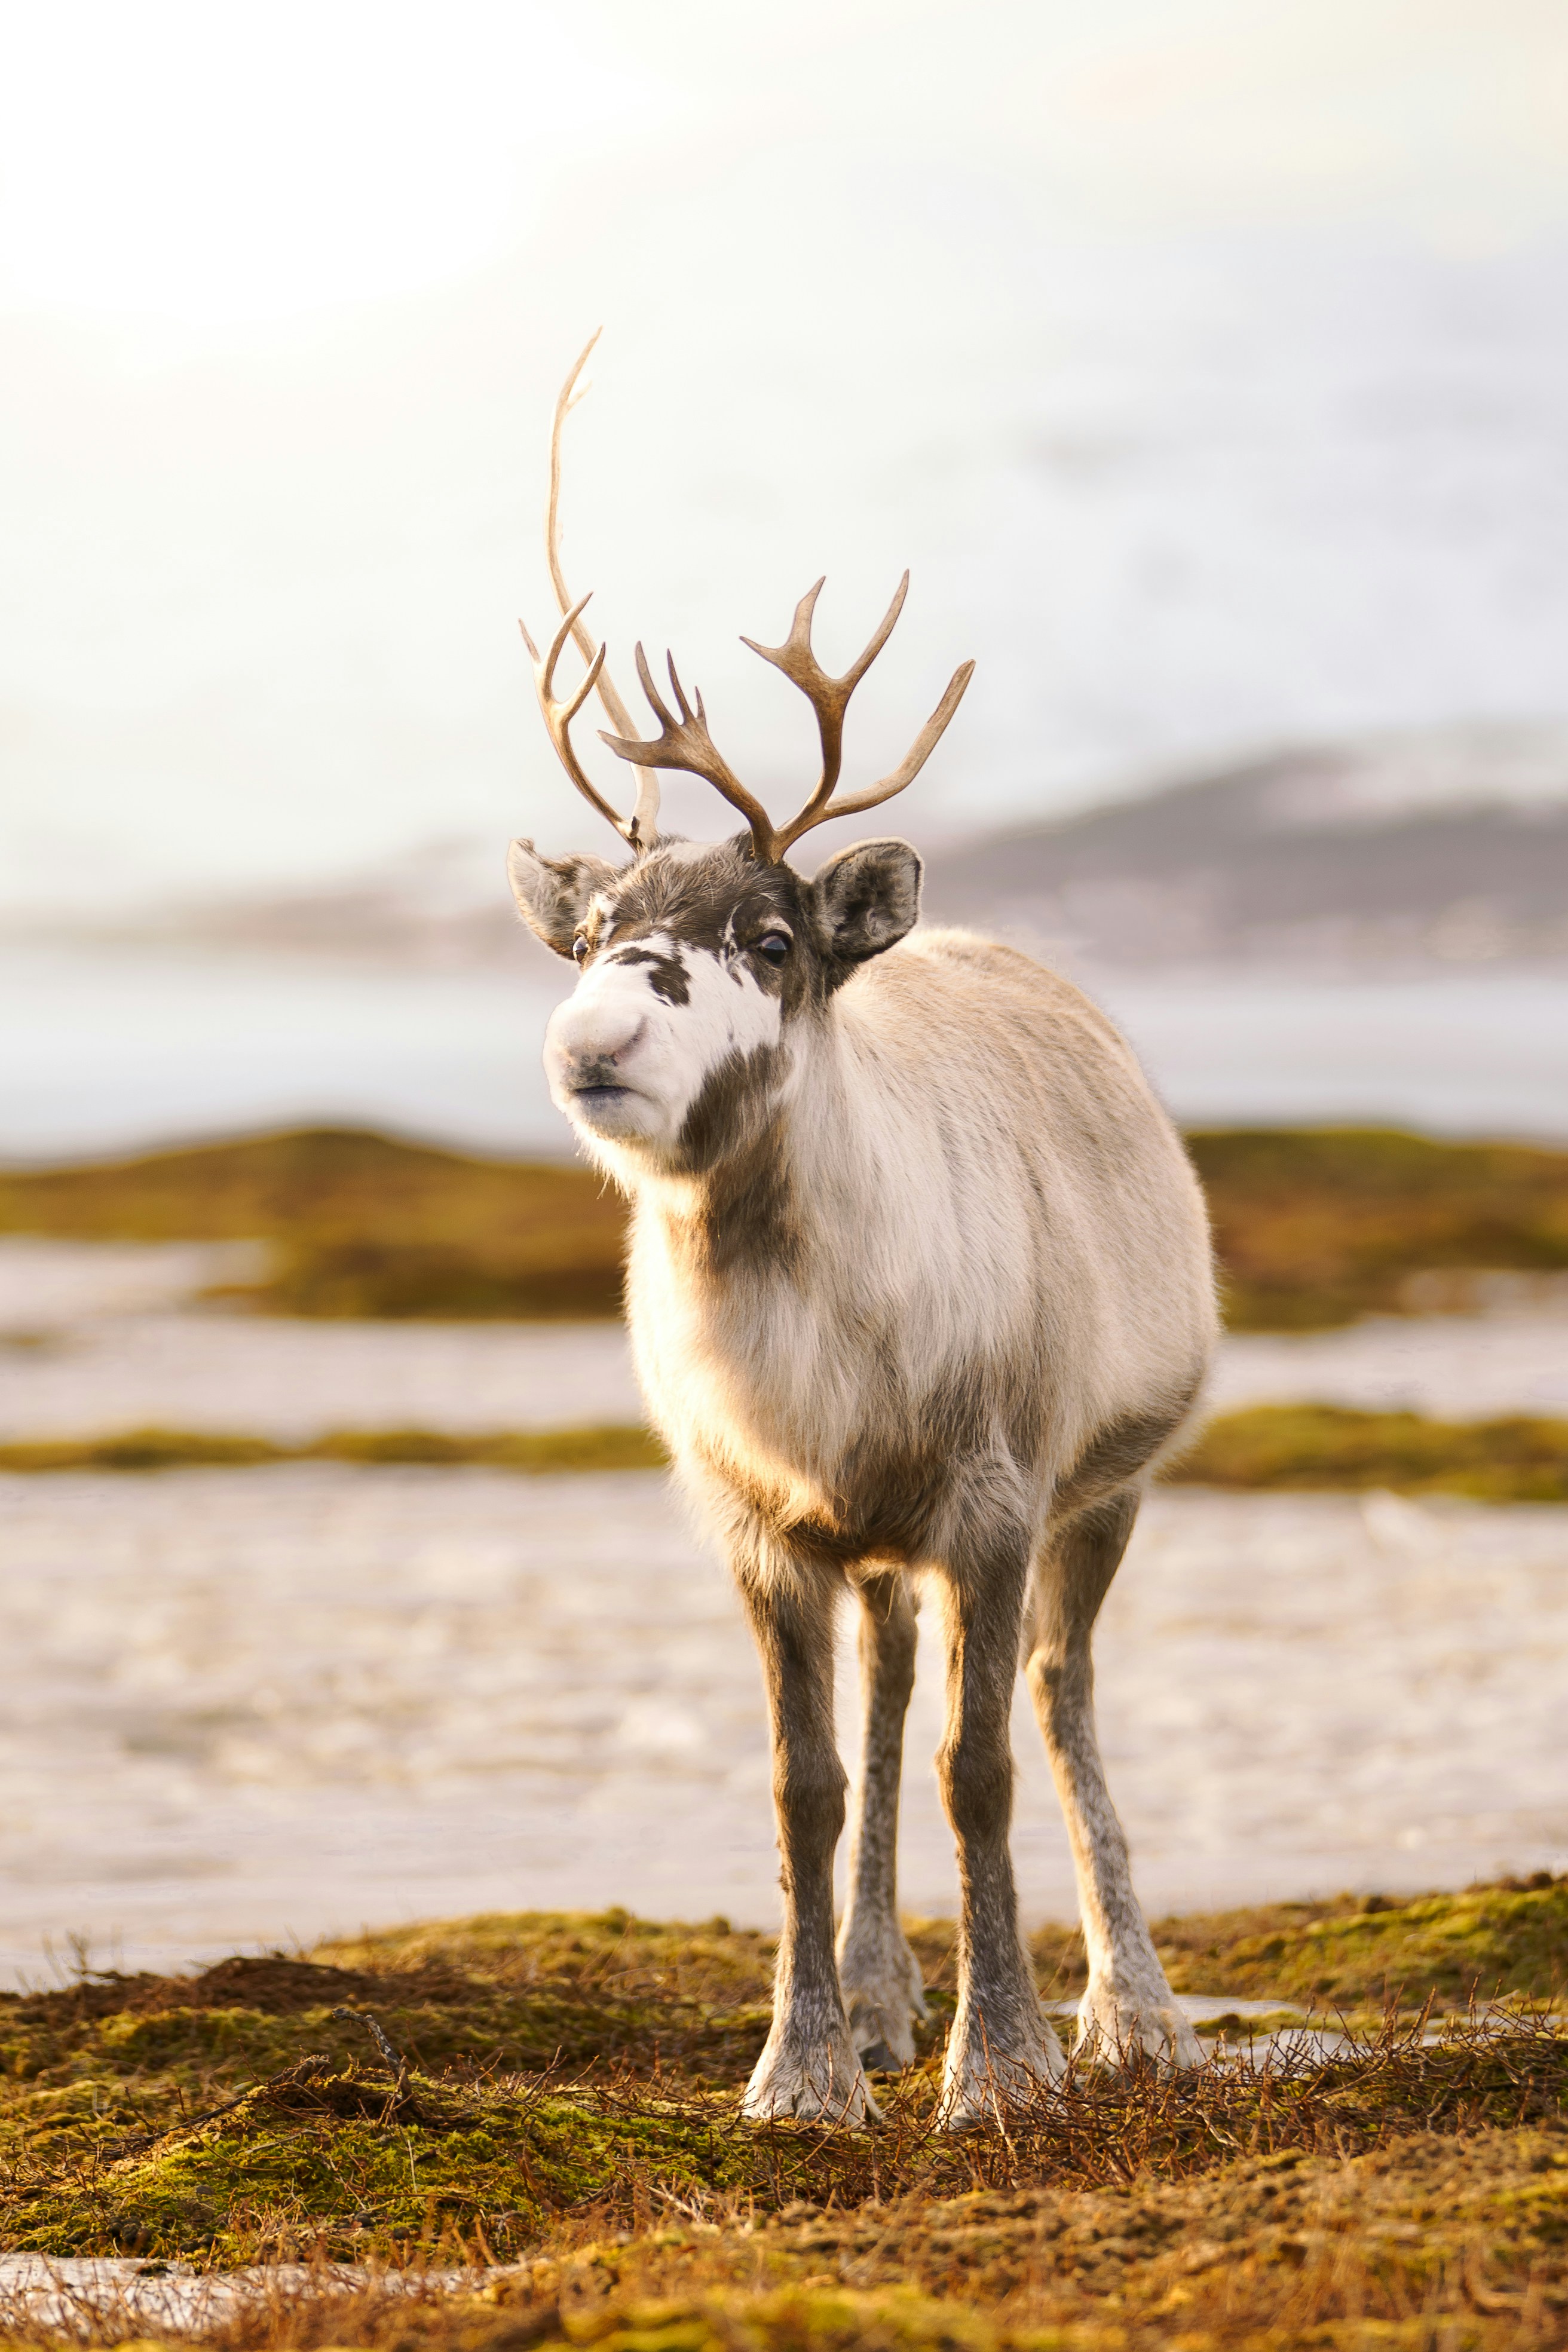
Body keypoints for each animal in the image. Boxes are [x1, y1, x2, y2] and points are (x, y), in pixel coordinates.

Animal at [507, 339, 1217, 2127]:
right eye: (598, 930)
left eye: (768, 936)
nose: (590, 1043)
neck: (804, 1339)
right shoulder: (762, 1523)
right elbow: (806, 1783)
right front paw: (804, 2070)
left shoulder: (995, 1490)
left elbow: (982, 1769)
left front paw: (1004, 2067)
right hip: (878, 1549)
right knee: (891, 1692)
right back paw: (890, 1999)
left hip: (1105, 1490)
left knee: (1055, 1698)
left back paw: (1134, 2014)